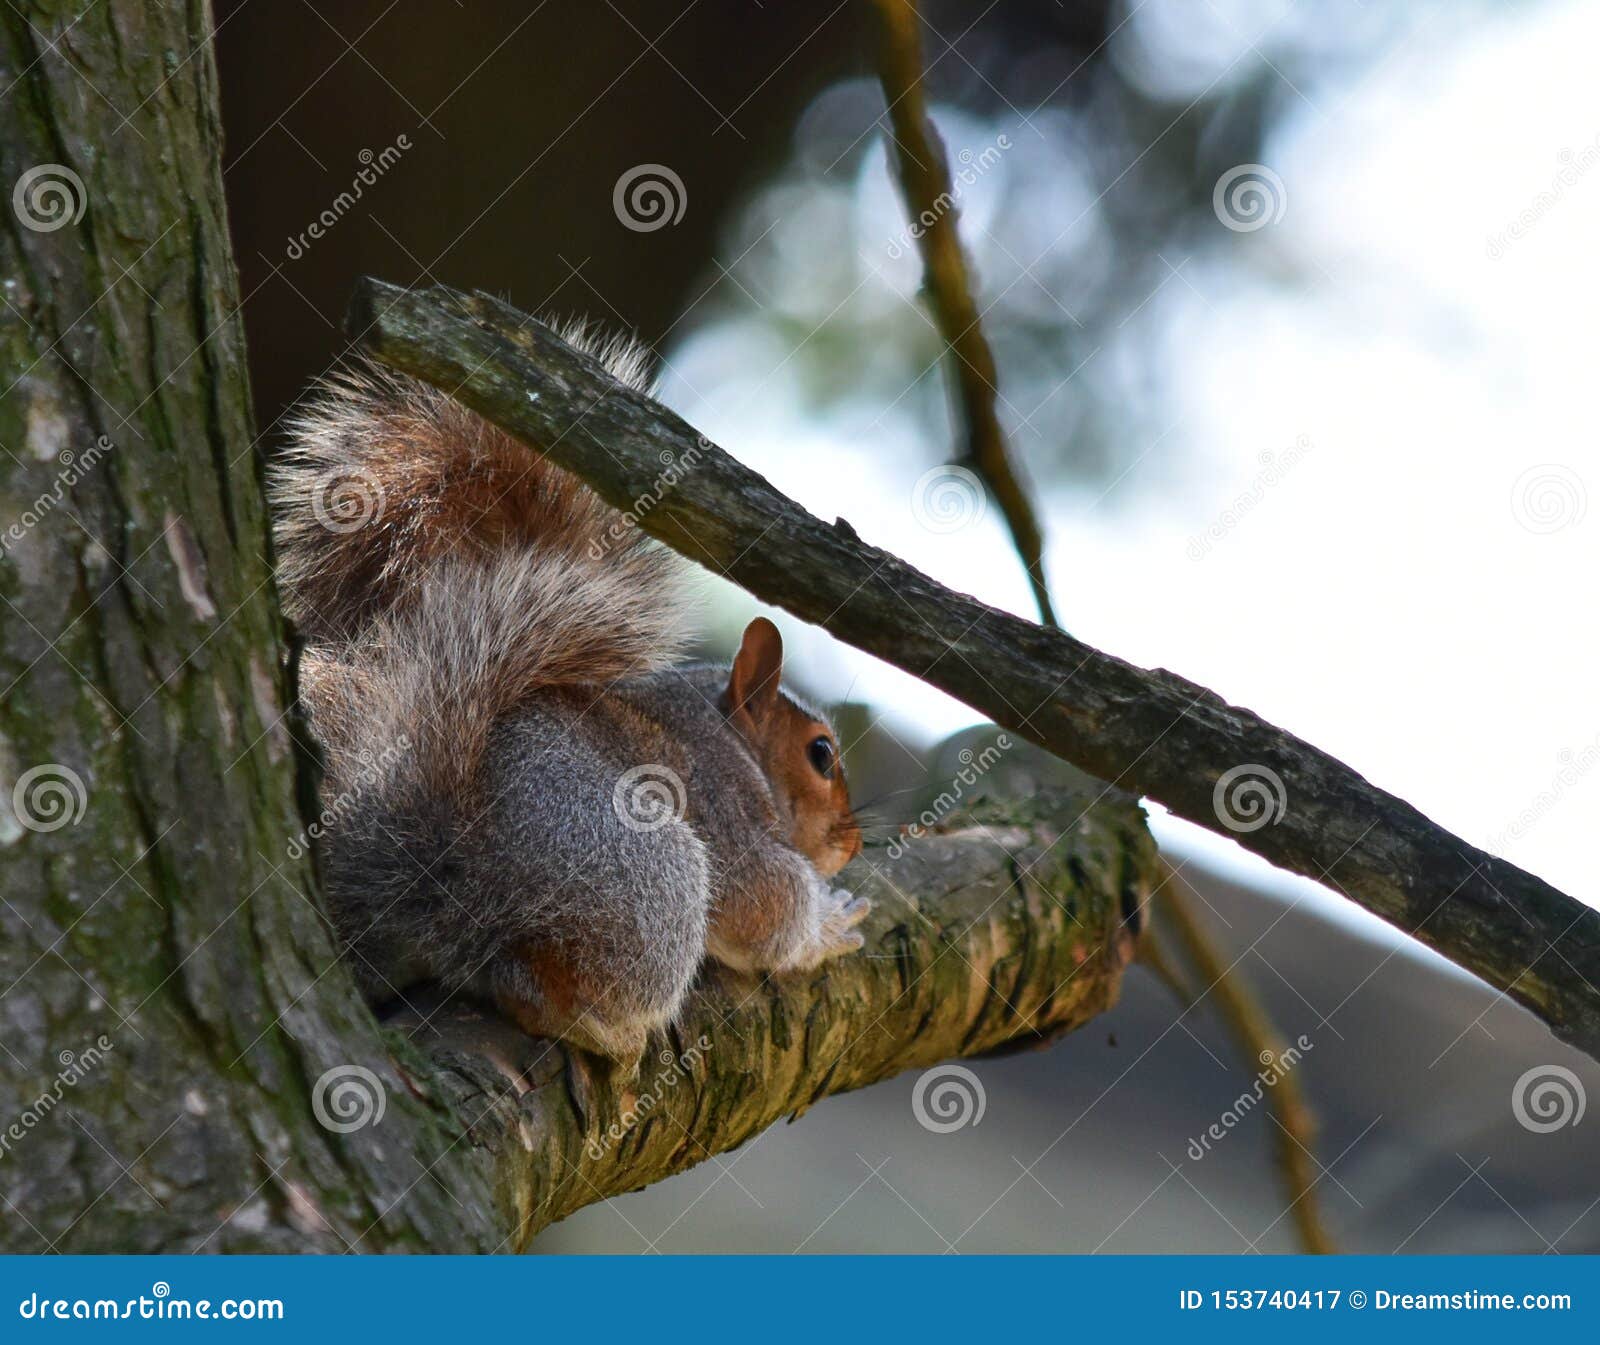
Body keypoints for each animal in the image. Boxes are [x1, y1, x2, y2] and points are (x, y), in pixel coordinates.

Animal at [269, 322, 868, 1071]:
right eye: (821, 755)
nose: (853, 844)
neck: (732, 738)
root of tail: (451, 877)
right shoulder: (723, 804)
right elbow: (764, 907)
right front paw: (828, 923)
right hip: (655, 876)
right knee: (557, 990)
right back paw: (614, 1032)